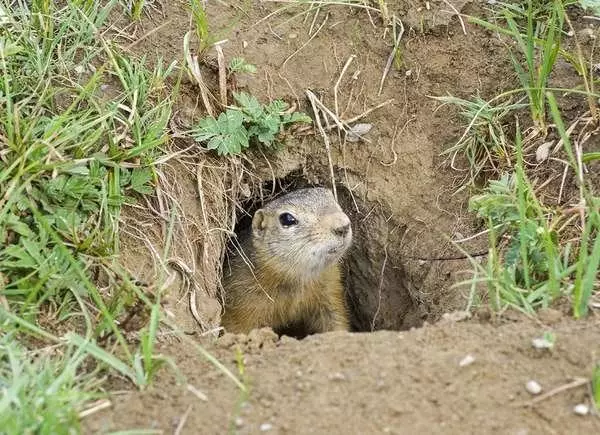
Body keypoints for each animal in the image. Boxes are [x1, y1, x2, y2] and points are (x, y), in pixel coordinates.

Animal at [220, 187, 352, 338]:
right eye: (287, 219)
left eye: (332, 196)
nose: (343, 225)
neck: (297, 279)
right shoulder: (241, 306)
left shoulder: (330, 291)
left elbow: (335, 320)